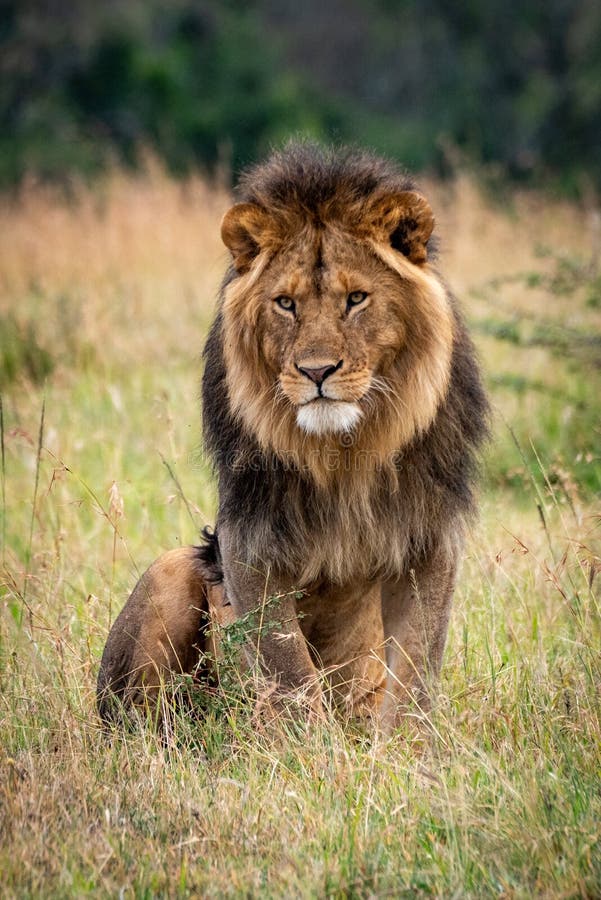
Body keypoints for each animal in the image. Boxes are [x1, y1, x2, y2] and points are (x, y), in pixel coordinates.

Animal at [97, 143, 489, 732]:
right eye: (285, 303)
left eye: (357, 298)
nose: (317, 371)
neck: (343, 453)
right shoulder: (251, 542)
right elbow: (288, 668)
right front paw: (309, 747)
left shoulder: (431, 539)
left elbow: (415, 668)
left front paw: (401, 749)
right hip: (169, 576)